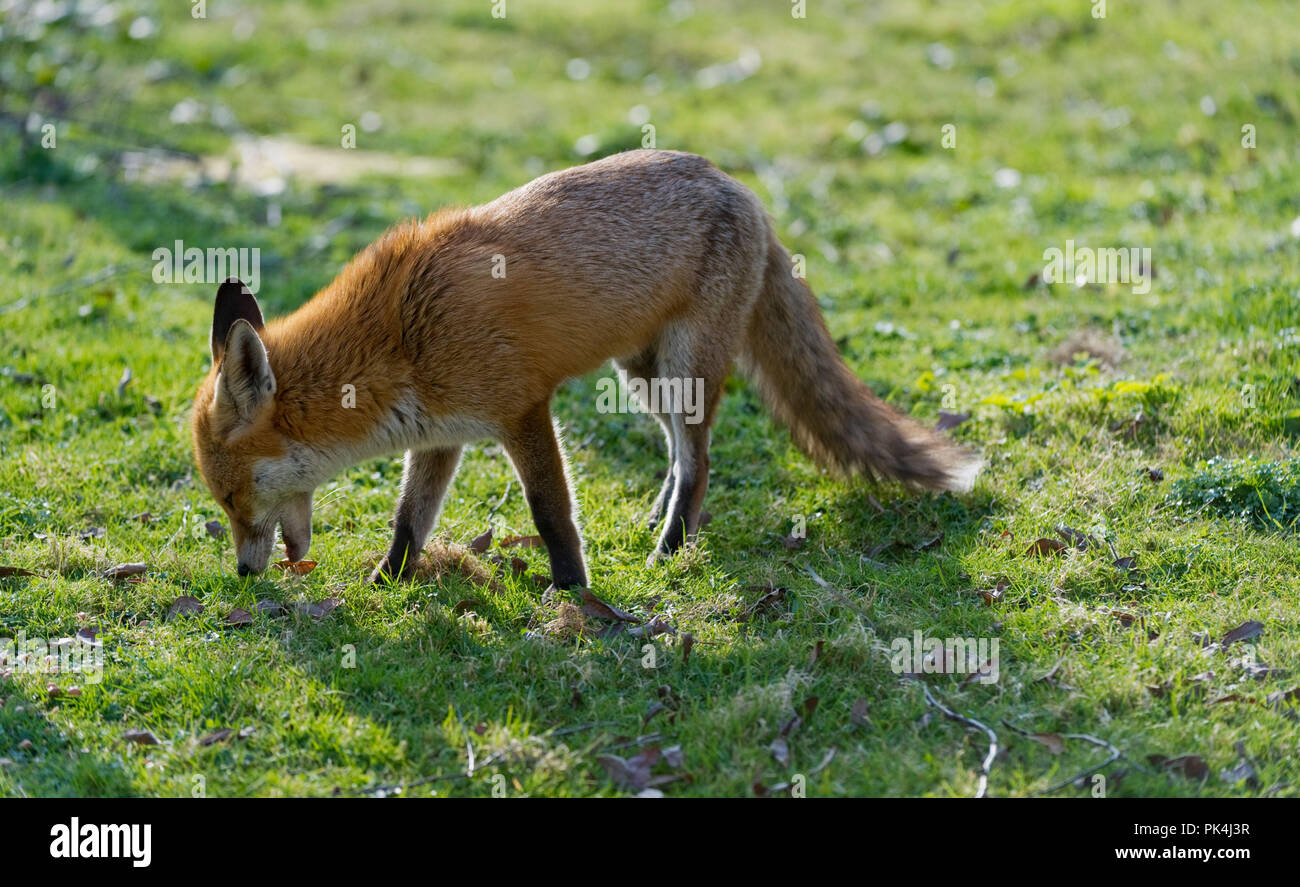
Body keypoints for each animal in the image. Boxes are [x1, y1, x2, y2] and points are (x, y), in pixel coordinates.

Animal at [192, 149, 981, 587]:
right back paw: (662, 520)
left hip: (686, 369)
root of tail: (743, 189)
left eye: (230, 500)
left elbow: (549, 512)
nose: (243, 574)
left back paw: (670, 549)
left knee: (700, 461)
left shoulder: (522, 409)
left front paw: (572, 590)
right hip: (644, 374)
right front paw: (388, 582)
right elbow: (409, 518)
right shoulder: (440, 434)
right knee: (678, 456)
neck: (401, 332)